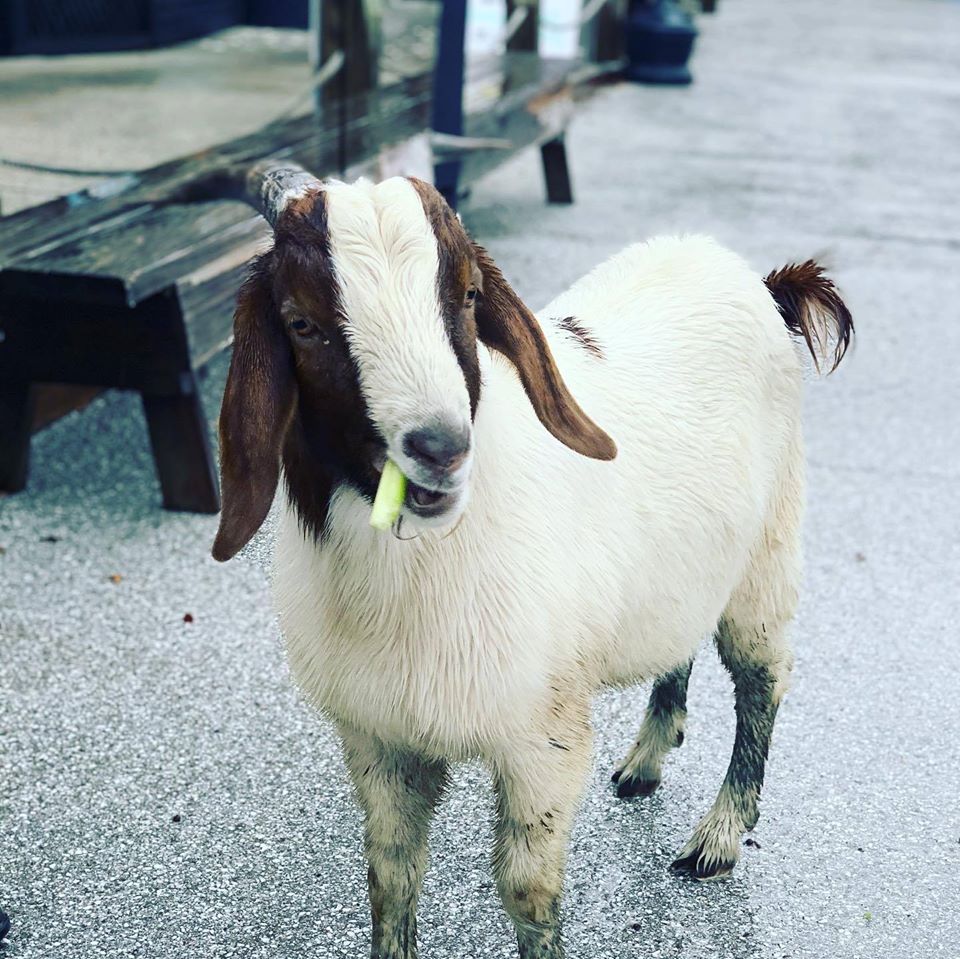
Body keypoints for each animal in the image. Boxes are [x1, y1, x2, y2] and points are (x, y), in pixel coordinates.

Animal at [212, 160, 853, 959]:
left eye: (467, 296)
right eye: (301, 321)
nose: (440, 447)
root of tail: (759, 282)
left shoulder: (542, 739)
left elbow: (526, 890)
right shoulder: (379, 740)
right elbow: (390, 875)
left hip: (766, 554)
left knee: (763, 679)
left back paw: (719, 837)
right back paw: (646, 760)